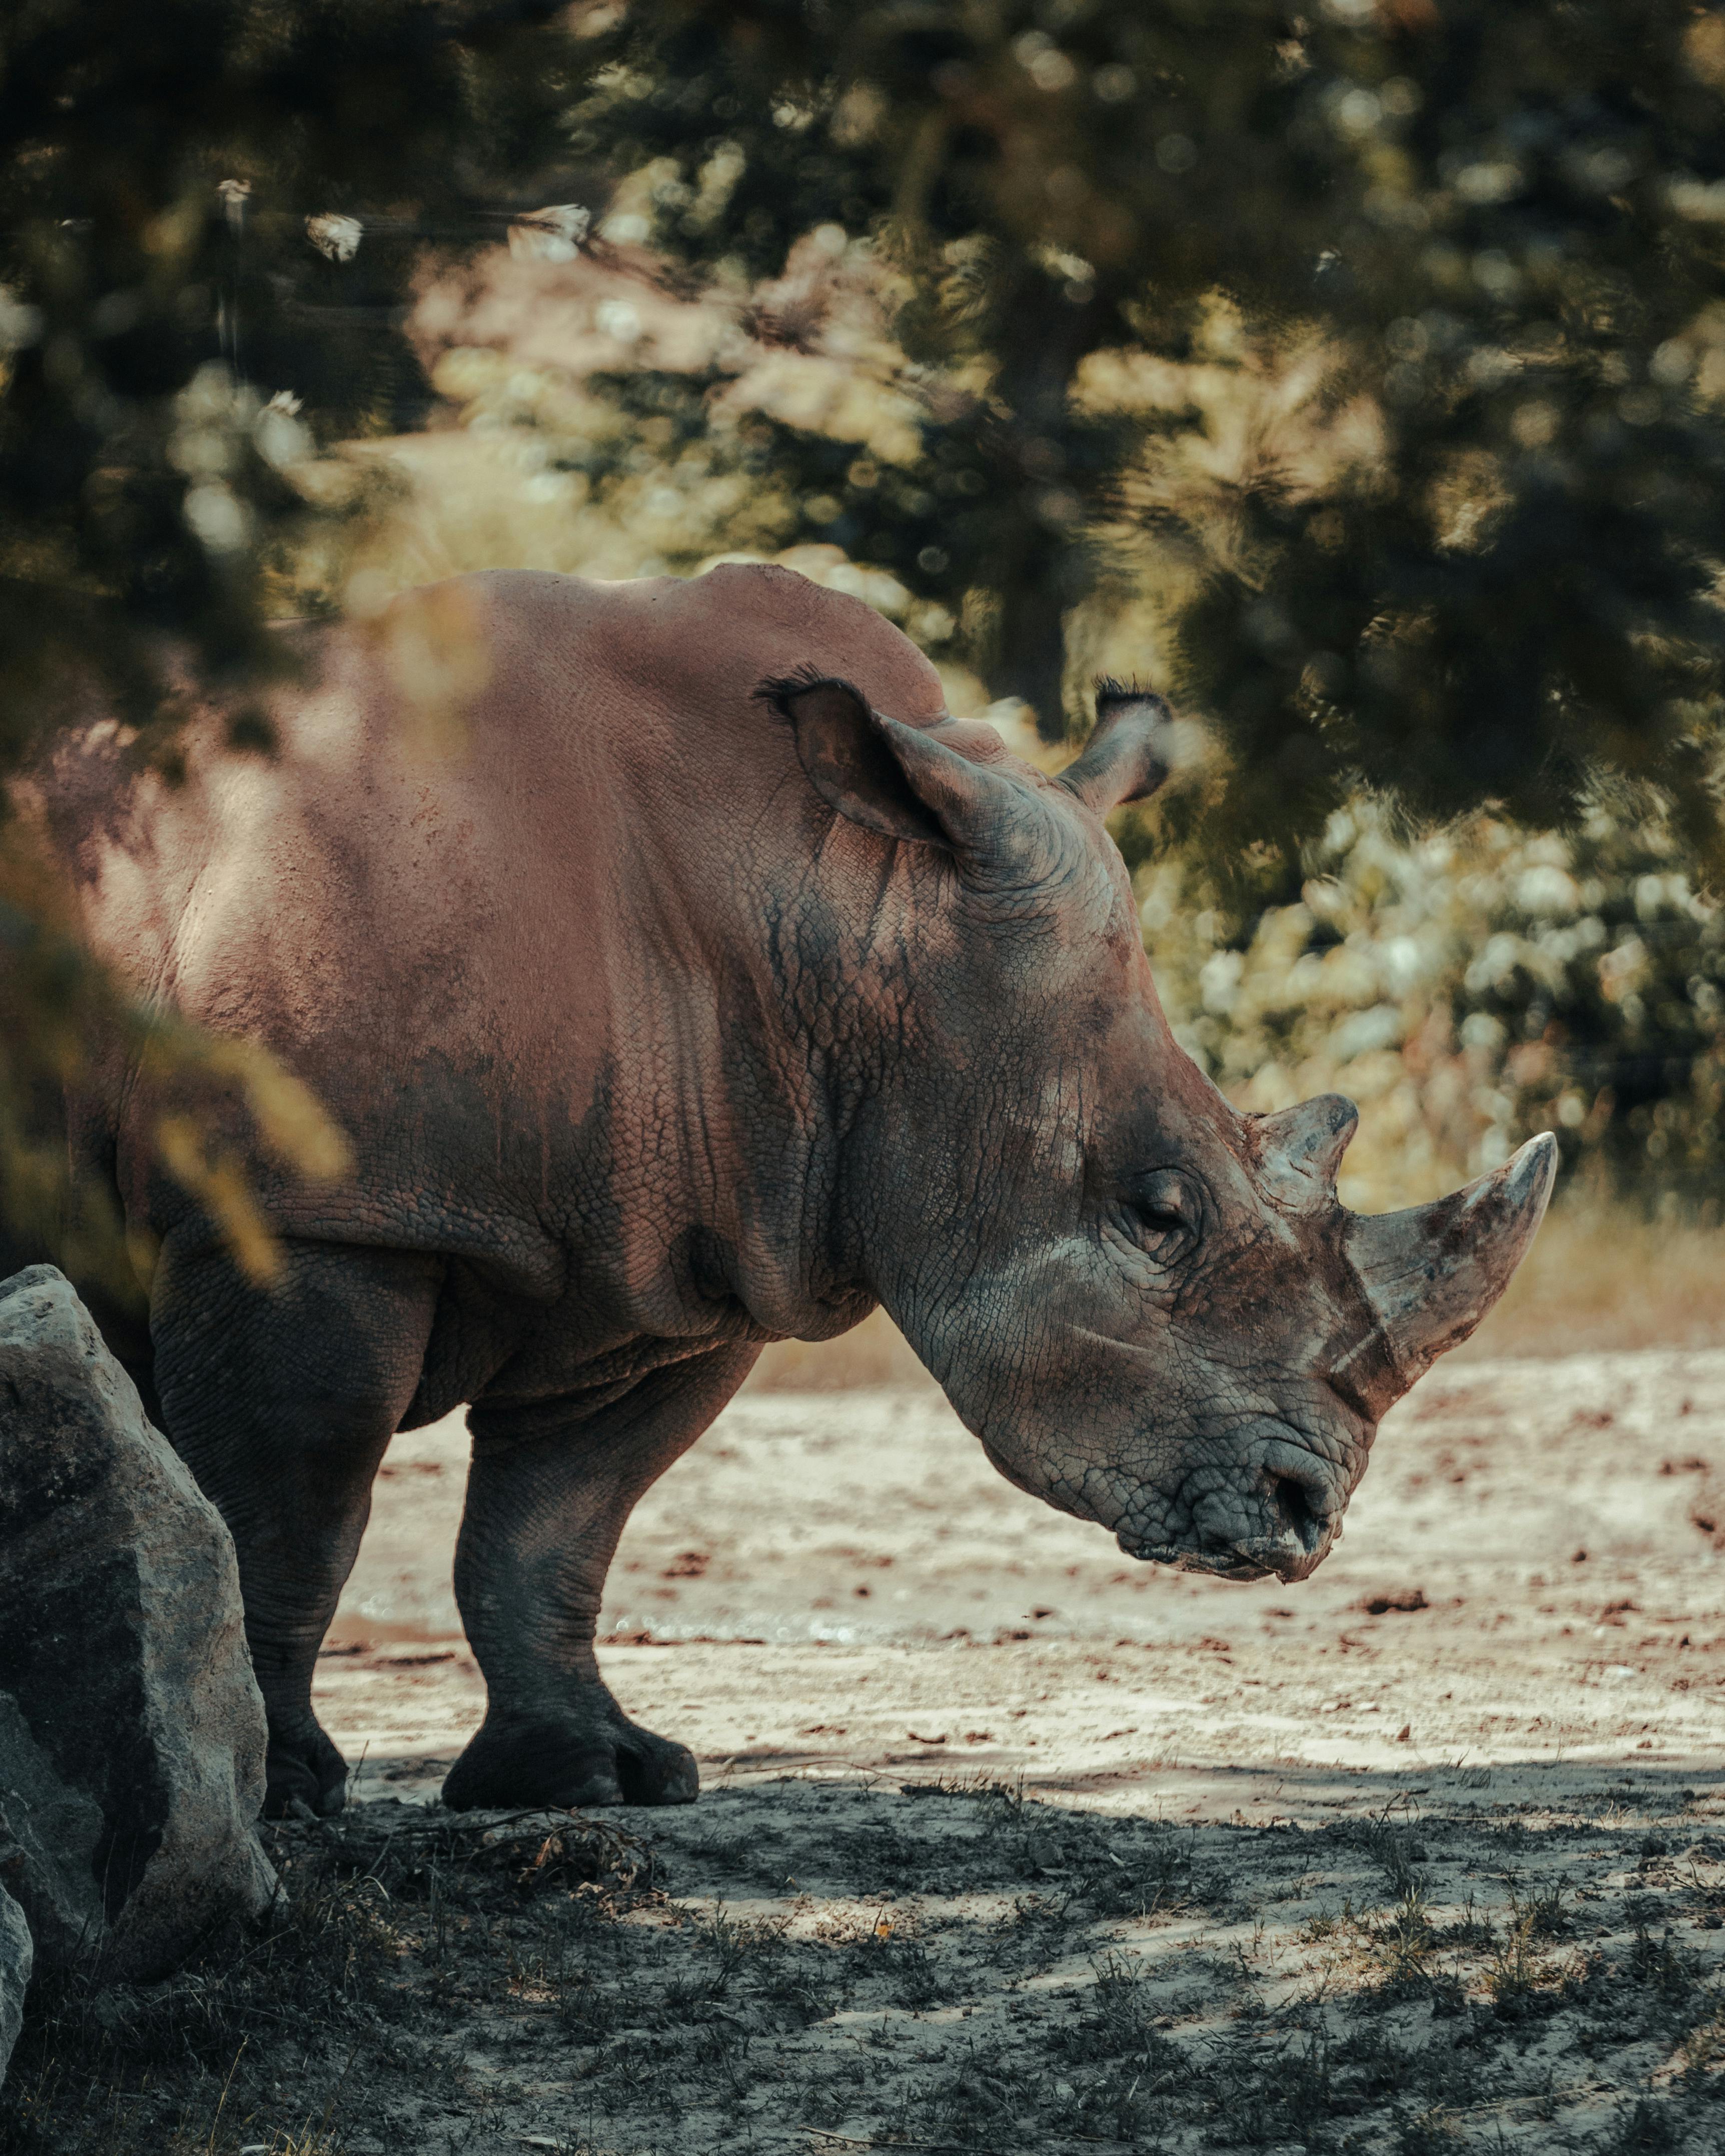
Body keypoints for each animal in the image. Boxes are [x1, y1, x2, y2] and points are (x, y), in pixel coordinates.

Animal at [17, 564, 1554, 1818]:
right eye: (1157, 1212)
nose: (1307, 1512)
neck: (832, 898)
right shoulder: (311, 1213)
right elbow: (293, 1499)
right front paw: (280, 1788)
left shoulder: (681, 1256)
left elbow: (555, 1524)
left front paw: (597, 1778)